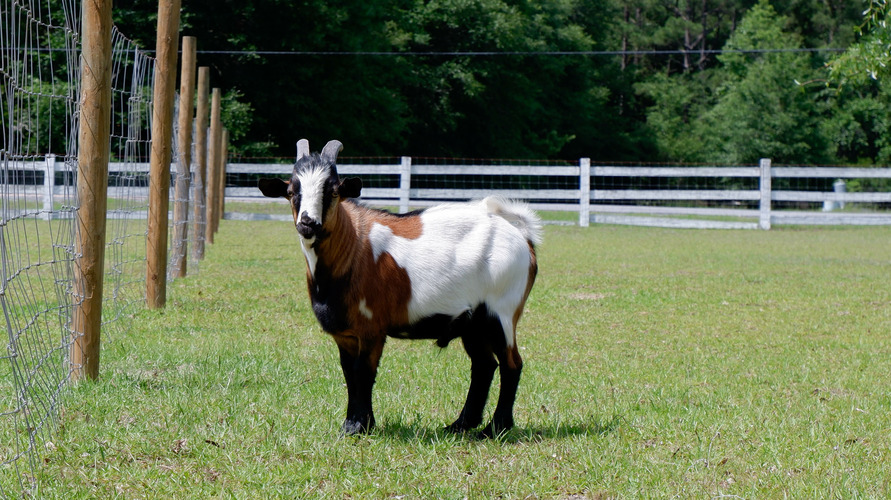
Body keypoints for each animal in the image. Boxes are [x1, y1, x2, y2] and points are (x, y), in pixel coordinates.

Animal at [258, 139, 541, 437]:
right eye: (291, 191)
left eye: (333, 191)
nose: (308, 223)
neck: (353, 249)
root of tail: (522, 236)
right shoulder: (345, 335)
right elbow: (349, 374)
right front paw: (358, 423)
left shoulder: (372, 328)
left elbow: (363, 373)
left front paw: (357, 426)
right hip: (473, 322)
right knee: (484, 365)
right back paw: (460, 425)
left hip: (501, 313)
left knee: (512, 364)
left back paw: (496, 428)